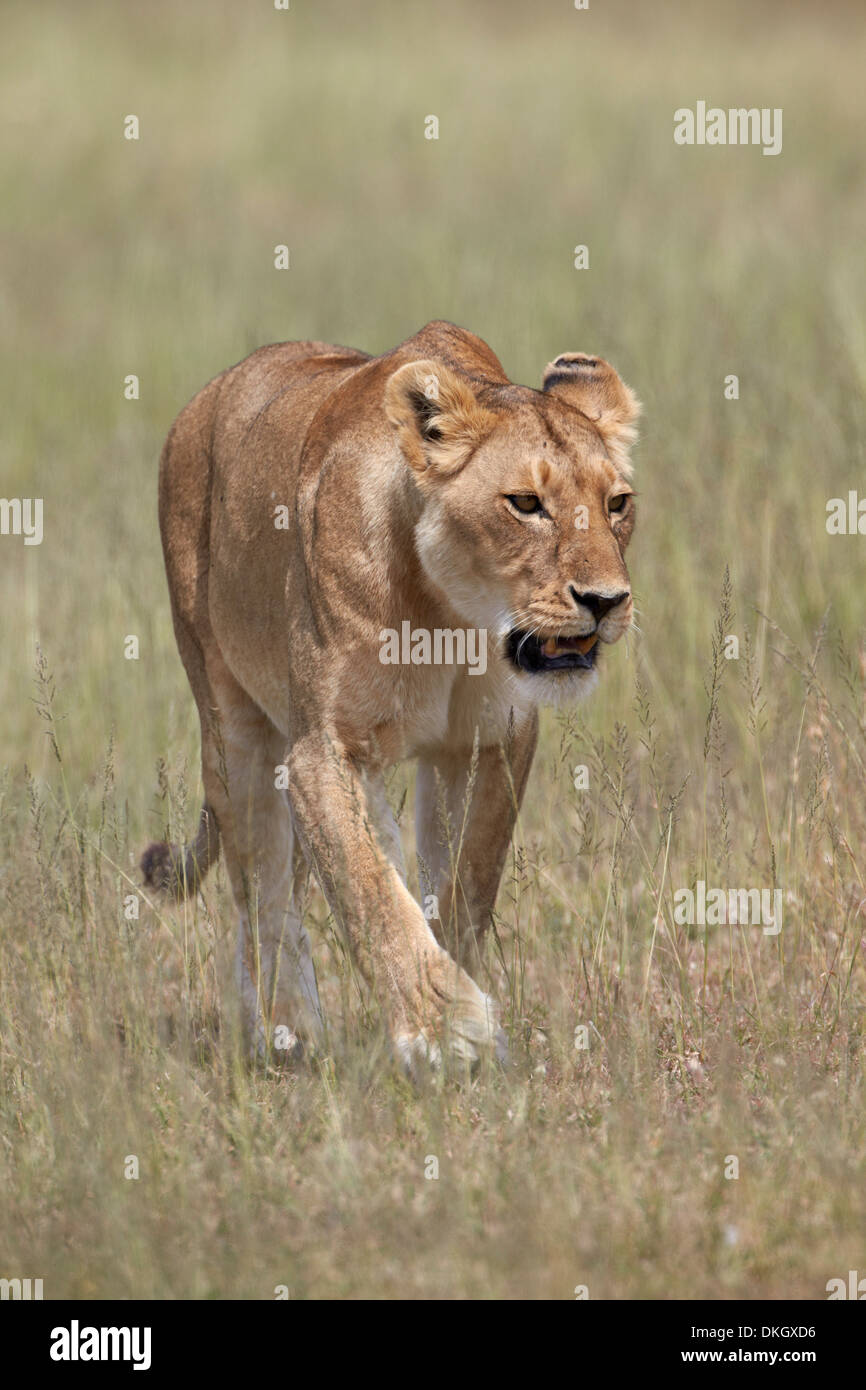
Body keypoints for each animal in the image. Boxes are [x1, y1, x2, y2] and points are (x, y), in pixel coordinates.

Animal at [141, 320, 640, 1071]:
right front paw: (446, 1035)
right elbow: (372, 887)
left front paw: (457, 1001)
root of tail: (207, 396)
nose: (606, 601)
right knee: (261, 899)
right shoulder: (325, 752)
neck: (452, 617)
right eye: (526, 504)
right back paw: (286, 1033)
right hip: (234, 730)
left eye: (617, 504)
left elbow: (462, 883)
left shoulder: (490, 740)